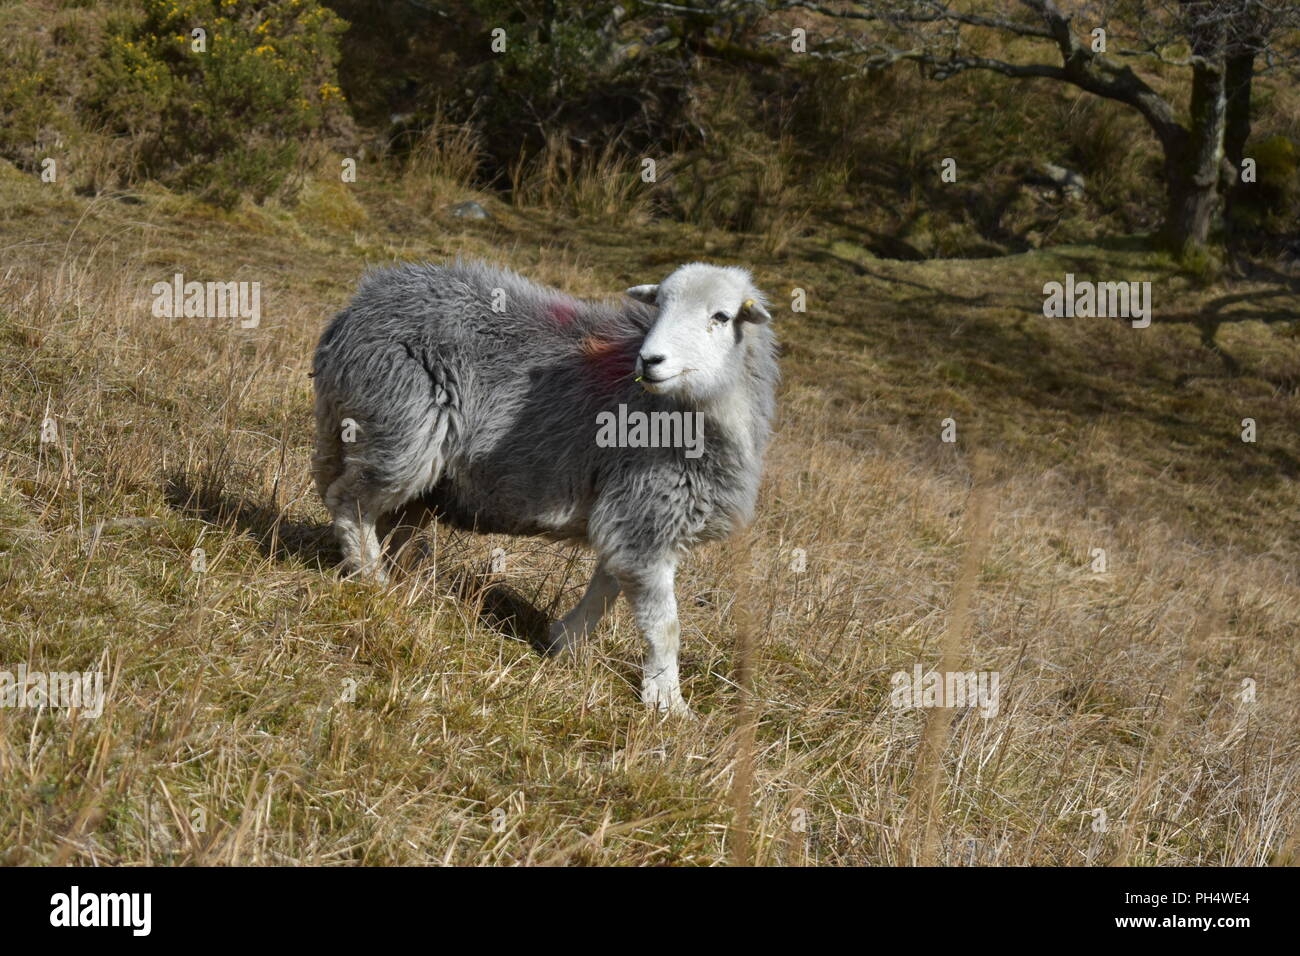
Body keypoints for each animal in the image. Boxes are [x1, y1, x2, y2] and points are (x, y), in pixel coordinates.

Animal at [311, 259, 779, 715]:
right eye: (658, 306)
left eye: (721, 317)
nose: (650, 360)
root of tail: (361, 304)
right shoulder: (645, 512)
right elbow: (665, 625)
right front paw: (668, 703)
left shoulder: (632, 514)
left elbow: (605, 588)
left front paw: (564, 643)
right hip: (401, 429)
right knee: (349, 502)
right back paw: (372, 581)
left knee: (392, 518)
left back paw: (405, 581)